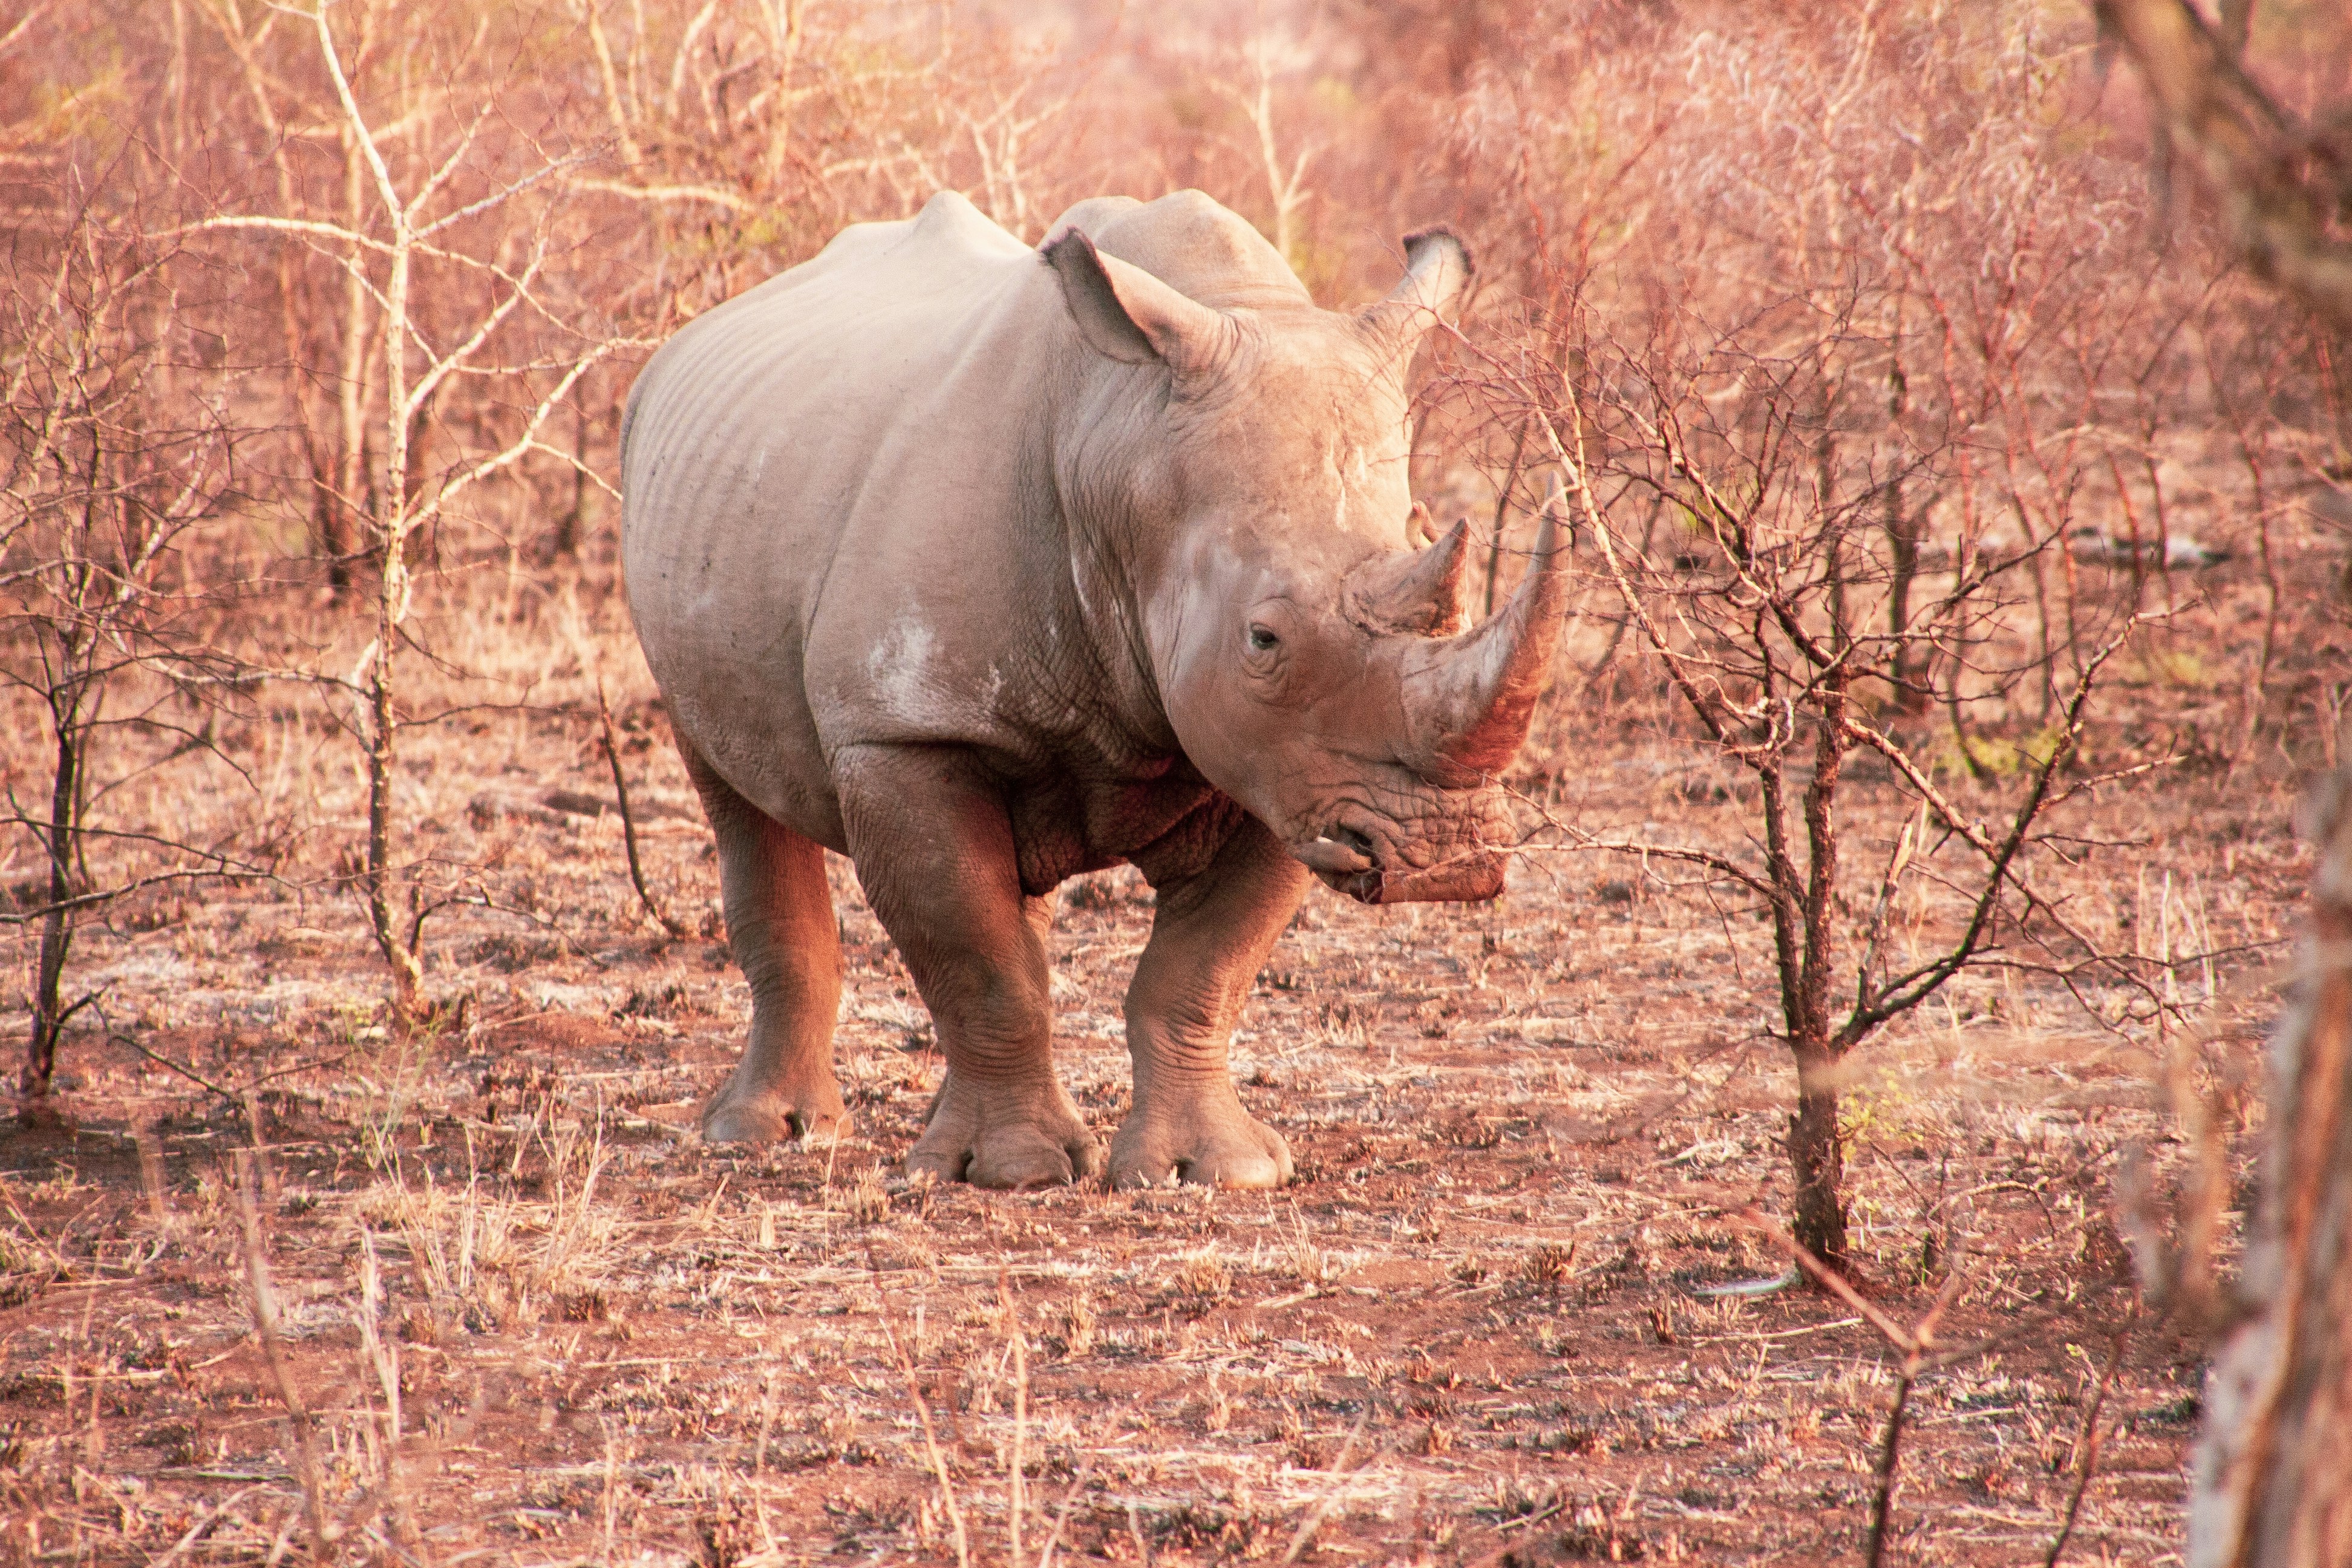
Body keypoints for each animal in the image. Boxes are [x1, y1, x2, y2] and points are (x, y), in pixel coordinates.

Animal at [621, 189, 1563, 1190]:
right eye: (1263, 638)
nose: (1448, 860)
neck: (1124, 451)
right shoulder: (902, 729)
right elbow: (980, 963)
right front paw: (1016, 1173)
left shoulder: (1290, 772)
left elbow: (1201, 970)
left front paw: (1218, 1172)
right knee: (734, 793)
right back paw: (766, 1134)